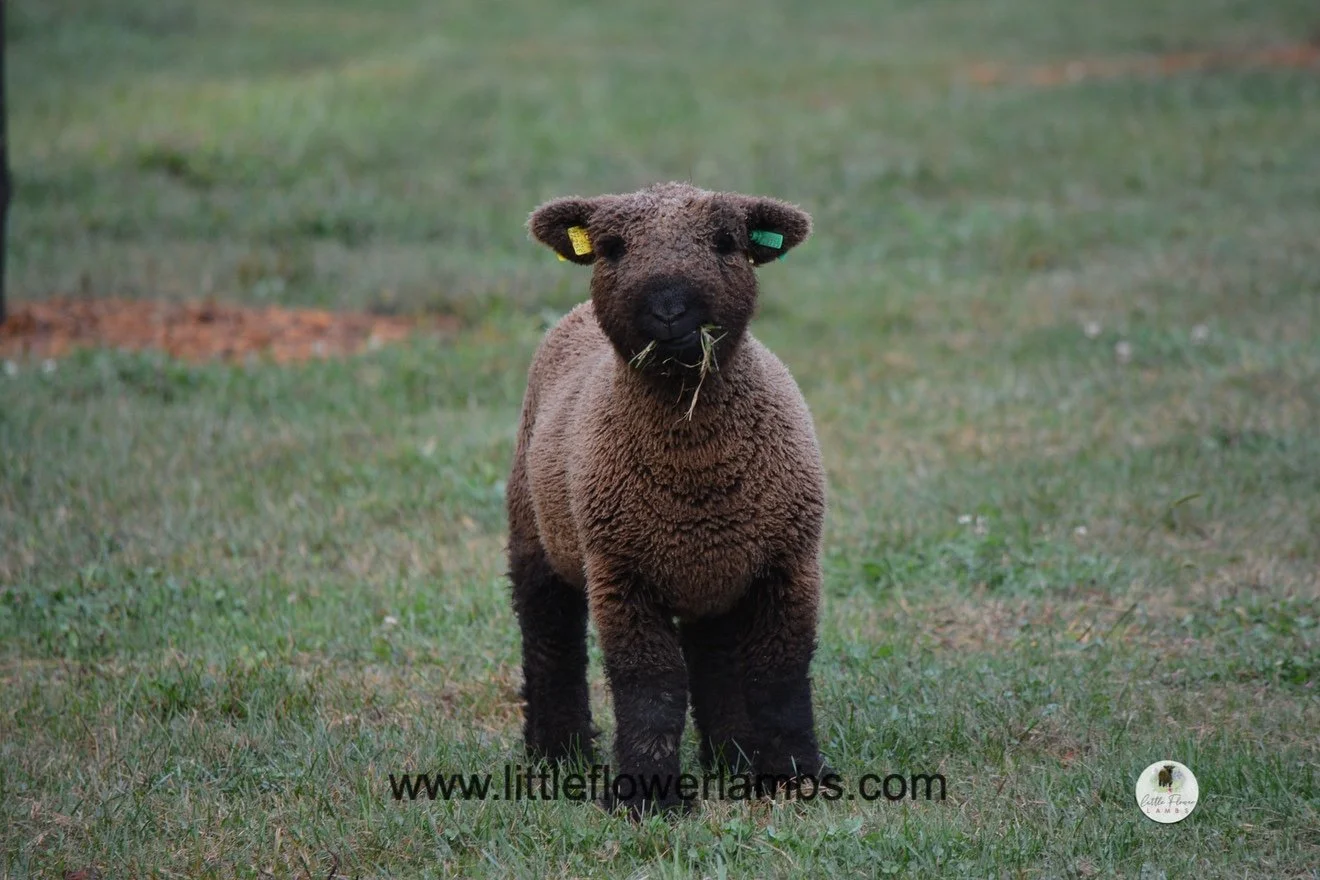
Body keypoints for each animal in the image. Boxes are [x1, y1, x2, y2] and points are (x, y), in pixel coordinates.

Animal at [507, 182, 826, 815]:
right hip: (534, 530)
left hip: (715, 580)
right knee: (549, 637)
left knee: (715, 659)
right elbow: (649, 685)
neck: (697, 476)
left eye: (727, 241)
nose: (671, 310)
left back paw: (734, 760)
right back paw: (558, 755)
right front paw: (646, 797)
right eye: (610, 246)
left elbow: (778, 677)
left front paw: (796, 777)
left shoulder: (789, 563)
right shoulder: (620, 574)